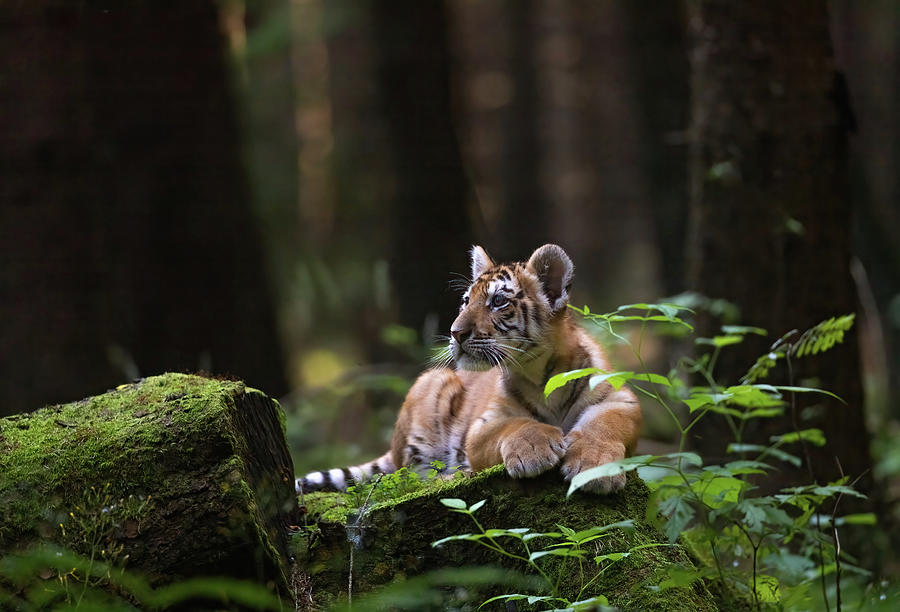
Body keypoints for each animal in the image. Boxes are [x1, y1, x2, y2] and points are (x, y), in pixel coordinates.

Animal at [296, 244, 642, 494]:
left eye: (498, 301)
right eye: (465, 301)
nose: (455, 332)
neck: (538, 370)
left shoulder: (620, 399)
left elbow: (603, 425)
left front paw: (595, 467)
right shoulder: (484, 425)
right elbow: (515, 426)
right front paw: (534, 449)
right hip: (431, 387)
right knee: (413, 475)